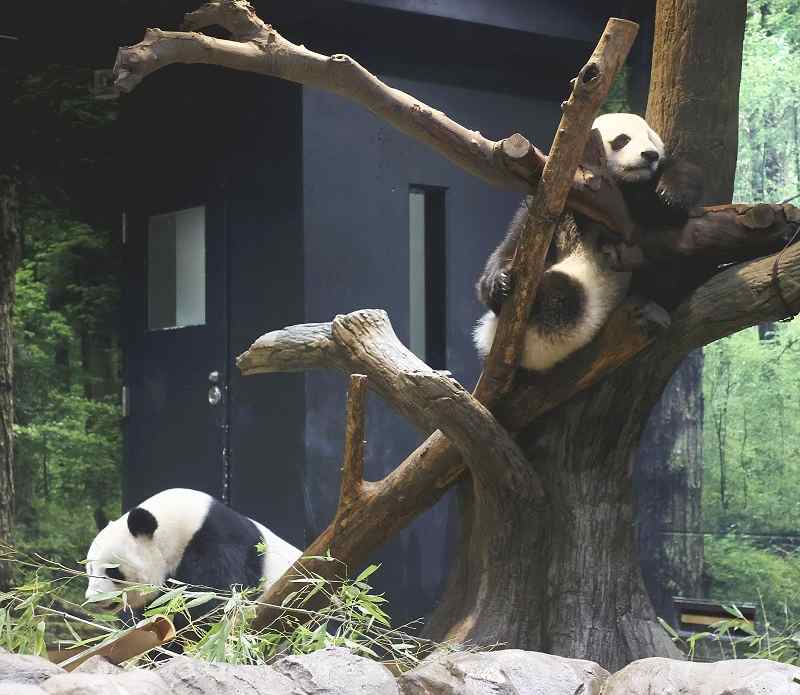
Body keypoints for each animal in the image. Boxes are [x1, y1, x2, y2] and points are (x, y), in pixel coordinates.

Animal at [473, 112, 704, 371]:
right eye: (623, 139)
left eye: (652, 139)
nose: (650, 155)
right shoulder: (555, 203)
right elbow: (515, 240)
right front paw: (499, 282)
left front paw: (672, 191)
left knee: (563, 295)